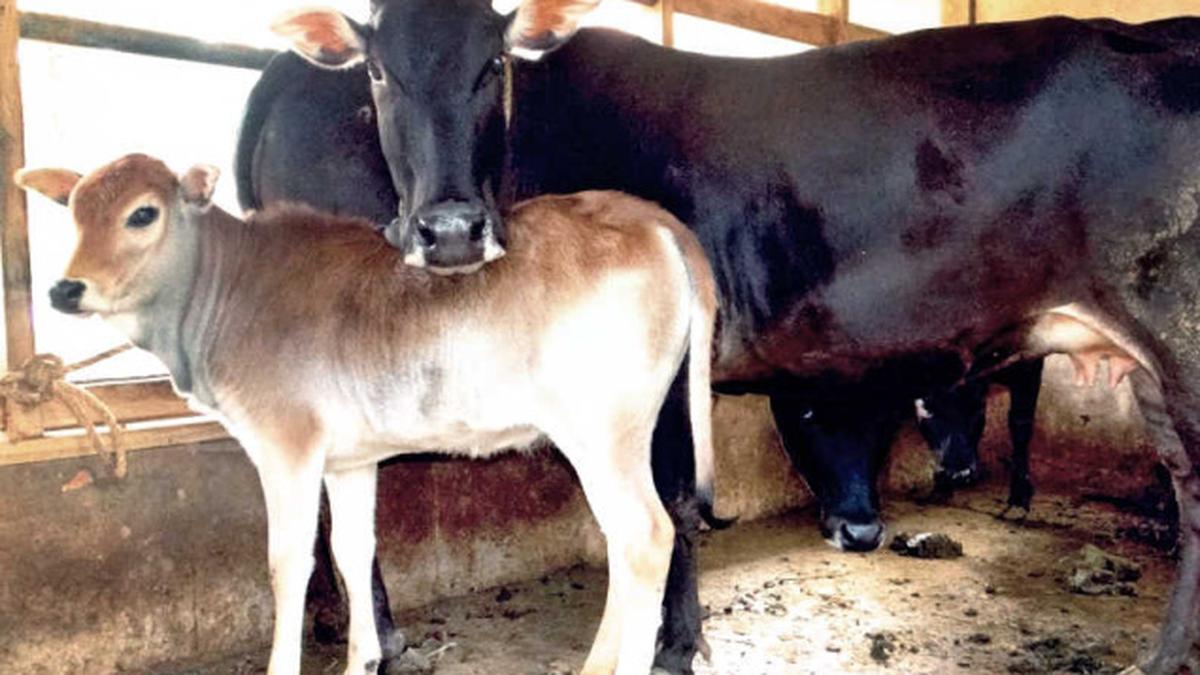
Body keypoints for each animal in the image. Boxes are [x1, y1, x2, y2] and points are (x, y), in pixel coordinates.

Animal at [16, 153, 720, 675]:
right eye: (72, 212)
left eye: (143, 214)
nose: (65, 289)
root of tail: (645, 215)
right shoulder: (349, 461)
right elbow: (354, 553)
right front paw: (363, 660)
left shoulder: (287, 447)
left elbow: (289, 564)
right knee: (625, 539)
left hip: (604, 433)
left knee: (646, 536)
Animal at [253, 4, 1200, 672]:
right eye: (379, 74)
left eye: (494, 66)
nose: (446, 228)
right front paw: (677, 638)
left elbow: (669, 503)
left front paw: (673, 643)